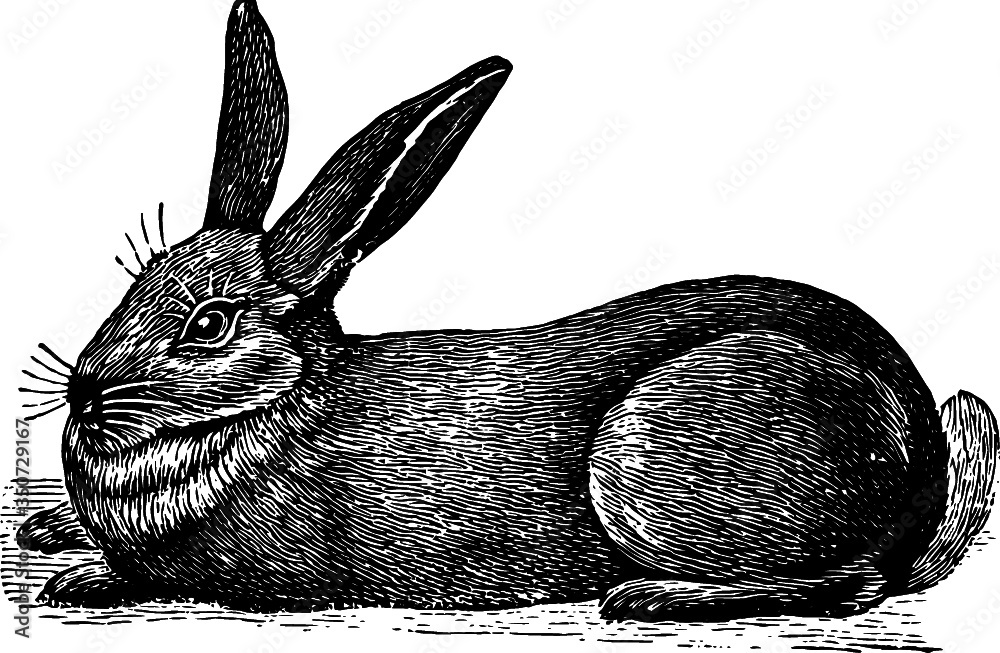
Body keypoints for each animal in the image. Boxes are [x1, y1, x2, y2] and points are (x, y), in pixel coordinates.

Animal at [20, 0, 998, 621]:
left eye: (209, 325)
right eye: (138, 276)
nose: (84, 393)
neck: (275, 405)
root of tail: (922, 459)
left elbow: (156, 575)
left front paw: (81, 578)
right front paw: (46, 526)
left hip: (653, 461)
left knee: (852, 580)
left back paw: (651, 598)